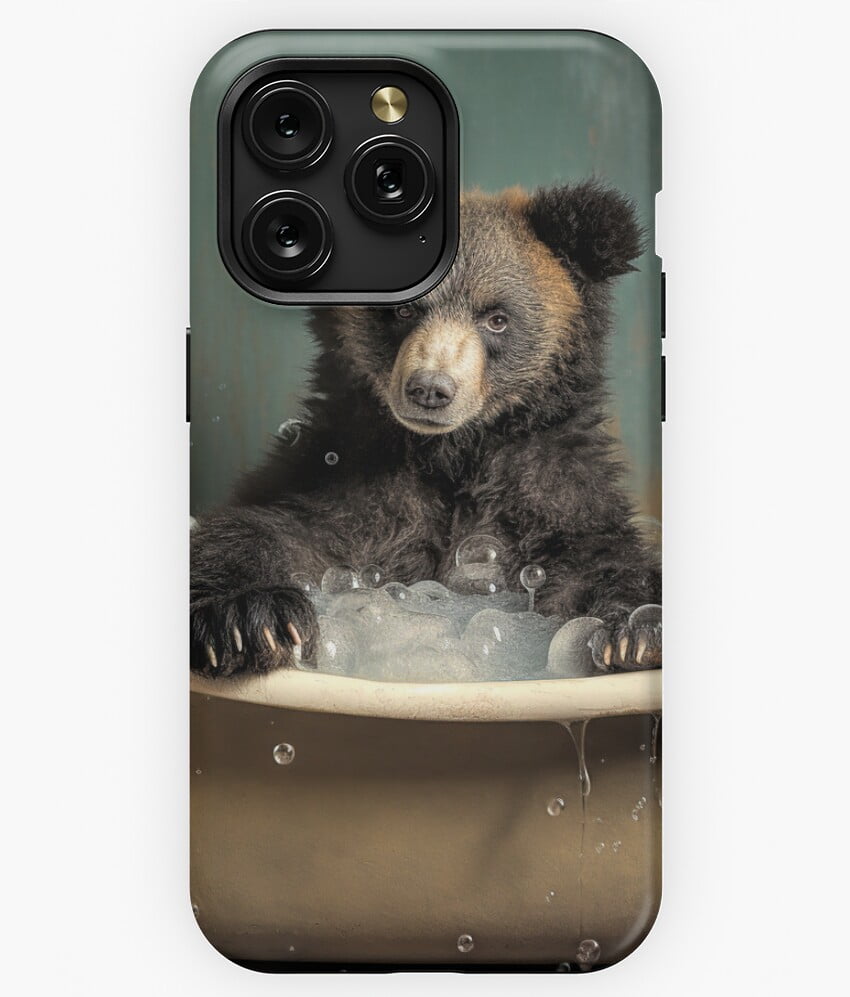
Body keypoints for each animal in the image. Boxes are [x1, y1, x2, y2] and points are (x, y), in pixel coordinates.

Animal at [190, 180, 661, 679]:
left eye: (496, 317)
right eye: (402, 310)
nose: (431, 389)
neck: (452, 452)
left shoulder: (548, 492)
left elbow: (601, 562)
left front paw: (632, 634)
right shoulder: (352, 486)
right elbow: (271, 531)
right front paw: (251, 619)